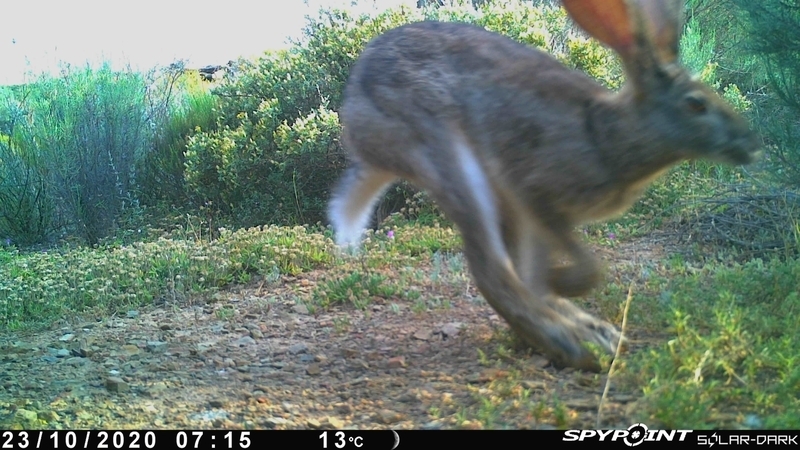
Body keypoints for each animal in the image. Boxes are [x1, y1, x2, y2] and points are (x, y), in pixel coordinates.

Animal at [327, 0, 761, 371]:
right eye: (696, 104)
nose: (752, 144)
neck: (604, 133)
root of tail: (356, 112)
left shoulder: (535, 214)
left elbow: (545, 267)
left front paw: (555, 291)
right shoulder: (539, 197)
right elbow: (587, 269)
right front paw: (557, 285)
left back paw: (589, 333)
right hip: (441, 150)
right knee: (490, 270)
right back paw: (570, 343)